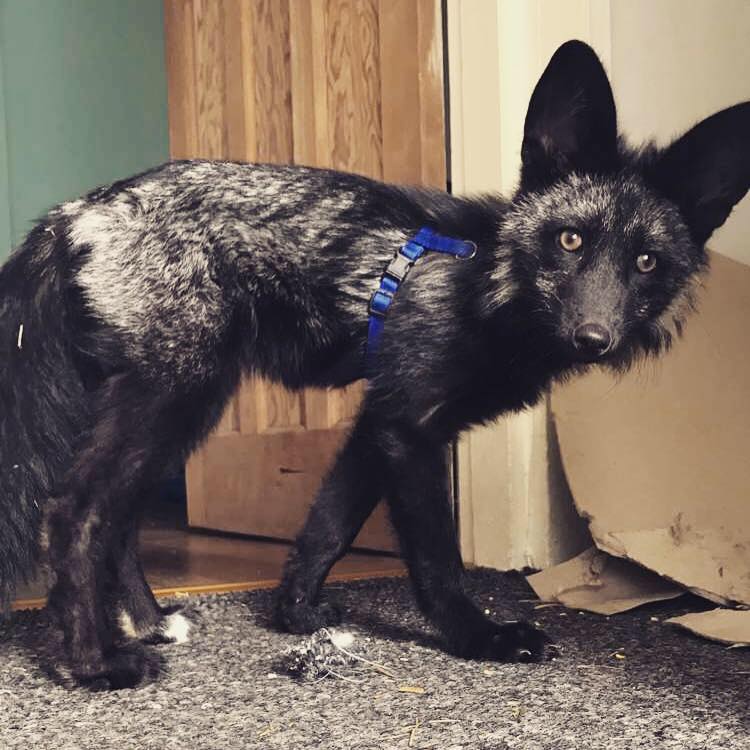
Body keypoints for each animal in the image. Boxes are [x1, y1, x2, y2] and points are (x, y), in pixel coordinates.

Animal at [0, 40, 748, 689]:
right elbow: (437, 560)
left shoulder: (377, 420)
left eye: (646, 262)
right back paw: (97, 662)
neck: (485, 286)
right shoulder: (410, 427)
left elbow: (327, 527)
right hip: (175, 394)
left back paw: (150, 623)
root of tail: (76, 211)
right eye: (569, 241)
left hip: (178, 406)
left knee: (119, 522)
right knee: (75, 513)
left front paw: (295, 614)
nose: (594, 337)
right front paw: (478, 638)